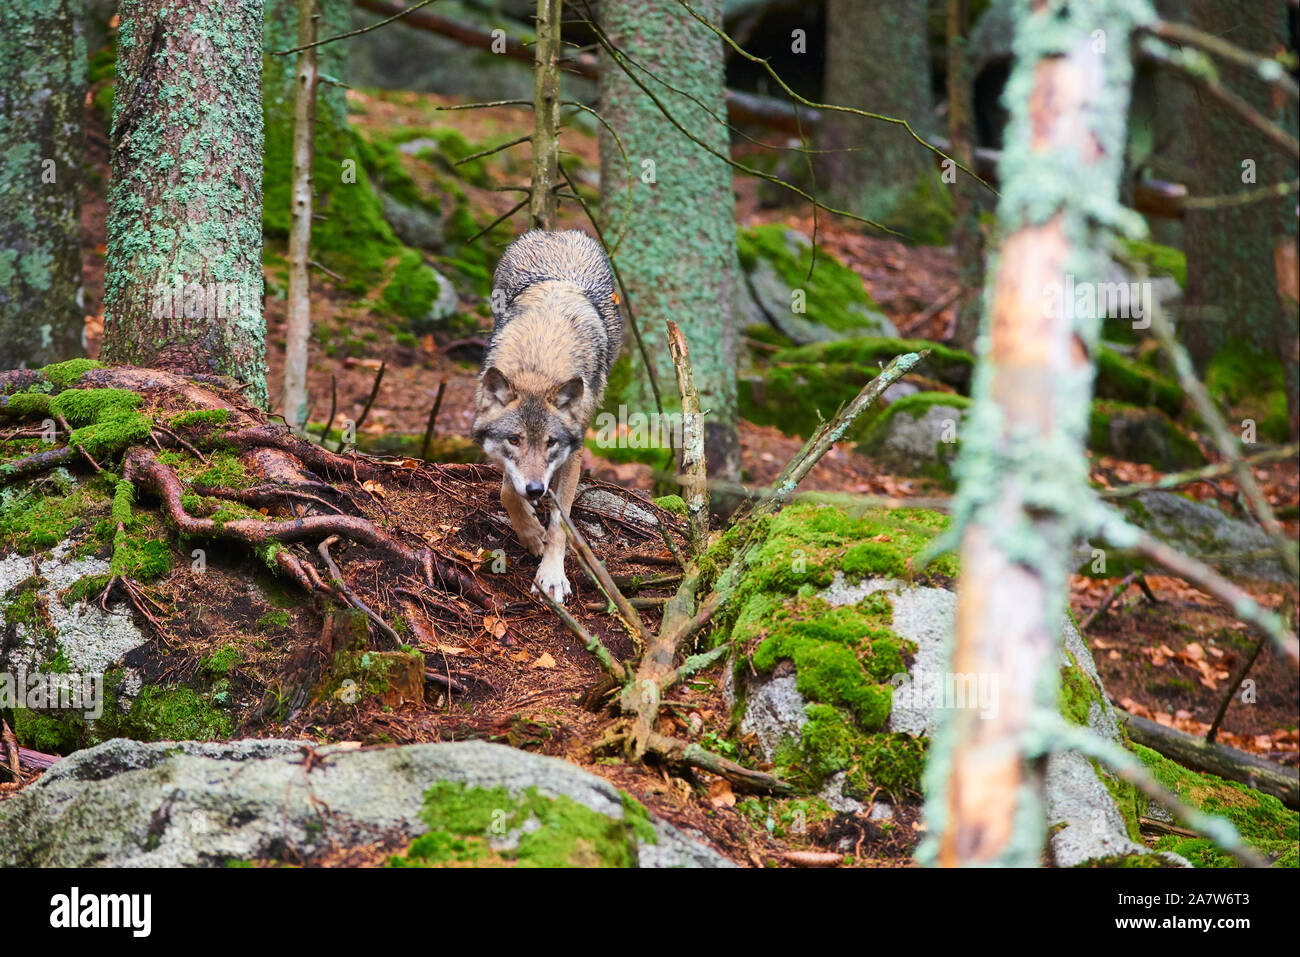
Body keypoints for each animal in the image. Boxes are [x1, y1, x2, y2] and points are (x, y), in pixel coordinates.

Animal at [471, 230, 623, 601]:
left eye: (552, 442)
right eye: (514, 439)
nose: (536, 488)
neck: (539, 364)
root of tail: (558, 233)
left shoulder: (572, 456)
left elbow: (560, 525)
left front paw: (552, 576)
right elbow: (507, 493)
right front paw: (530, 533)